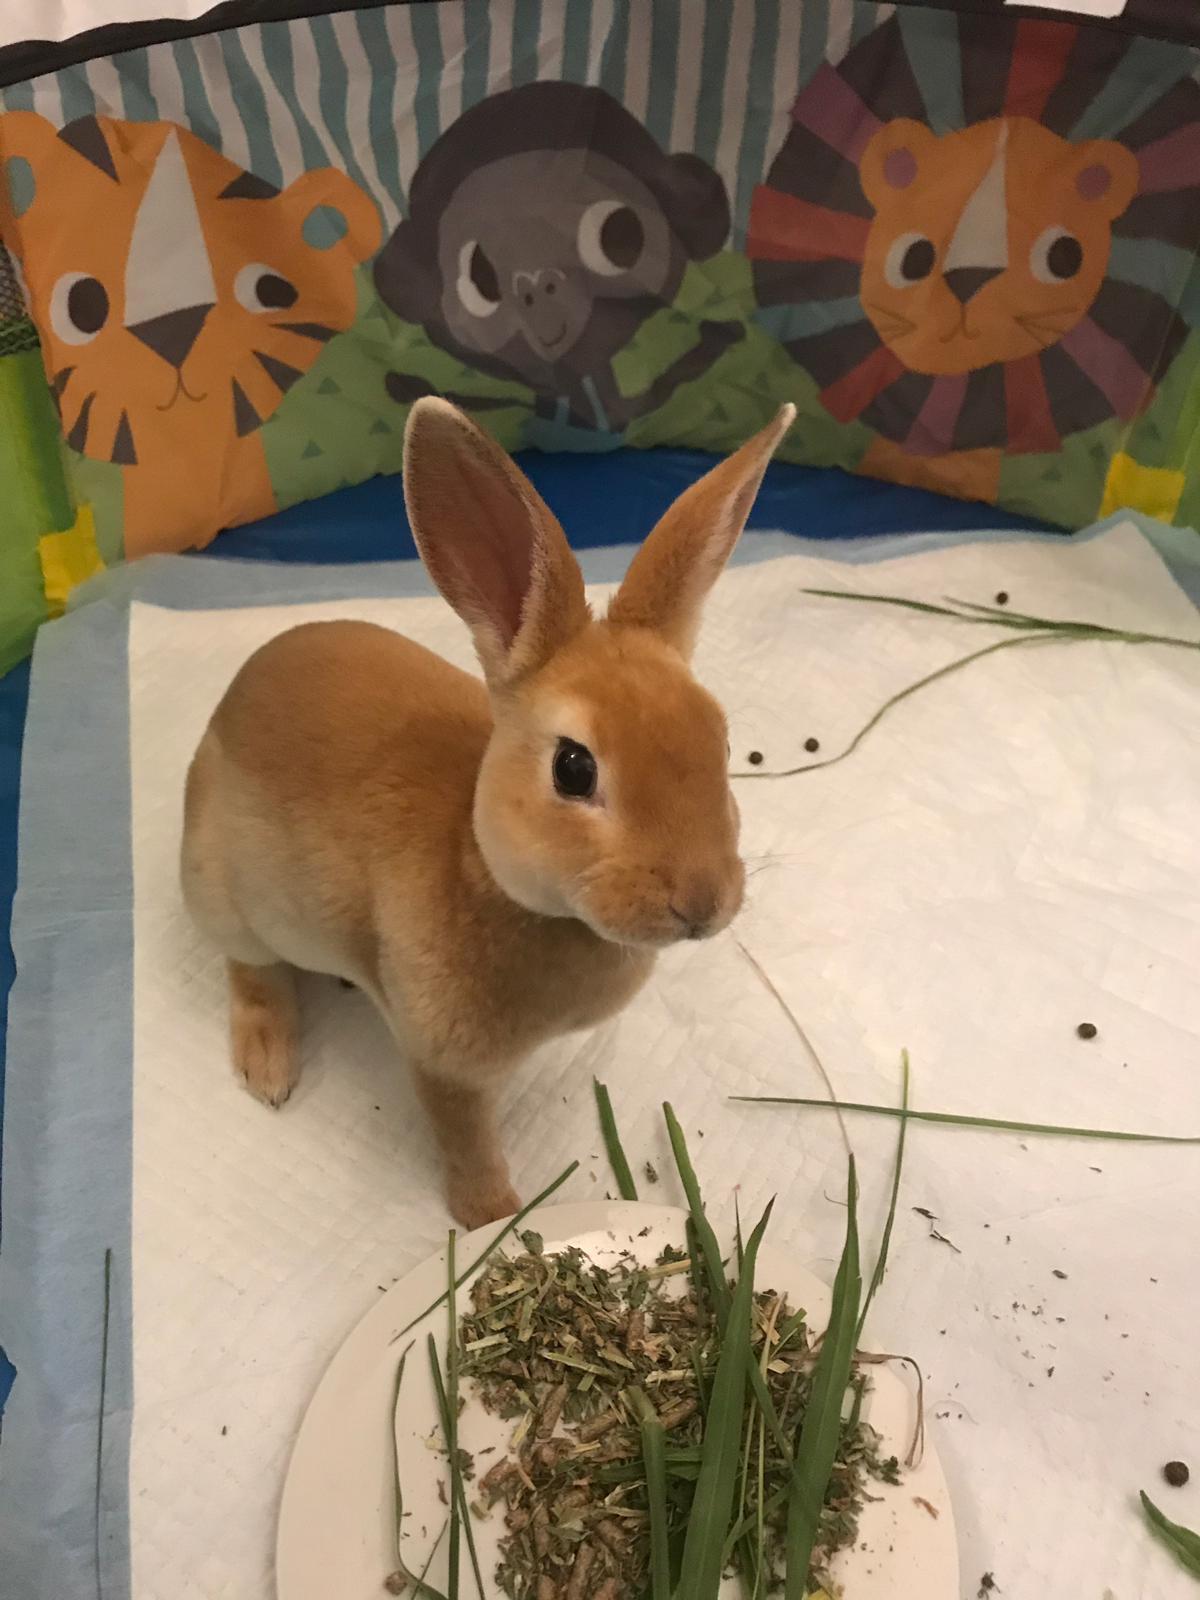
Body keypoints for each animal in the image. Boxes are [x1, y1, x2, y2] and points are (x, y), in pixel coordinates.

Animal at [181, 397, 795, 1228]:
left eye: (721, 740)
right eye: (574, 769)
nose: (702, 905)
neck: (477, 860)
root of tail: (224, 709)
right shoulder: (444, 1063)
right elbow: (465, 1137)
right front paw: (493, 1216)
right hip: (224, 894)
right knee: (249, 968)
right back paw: (268, 1067)